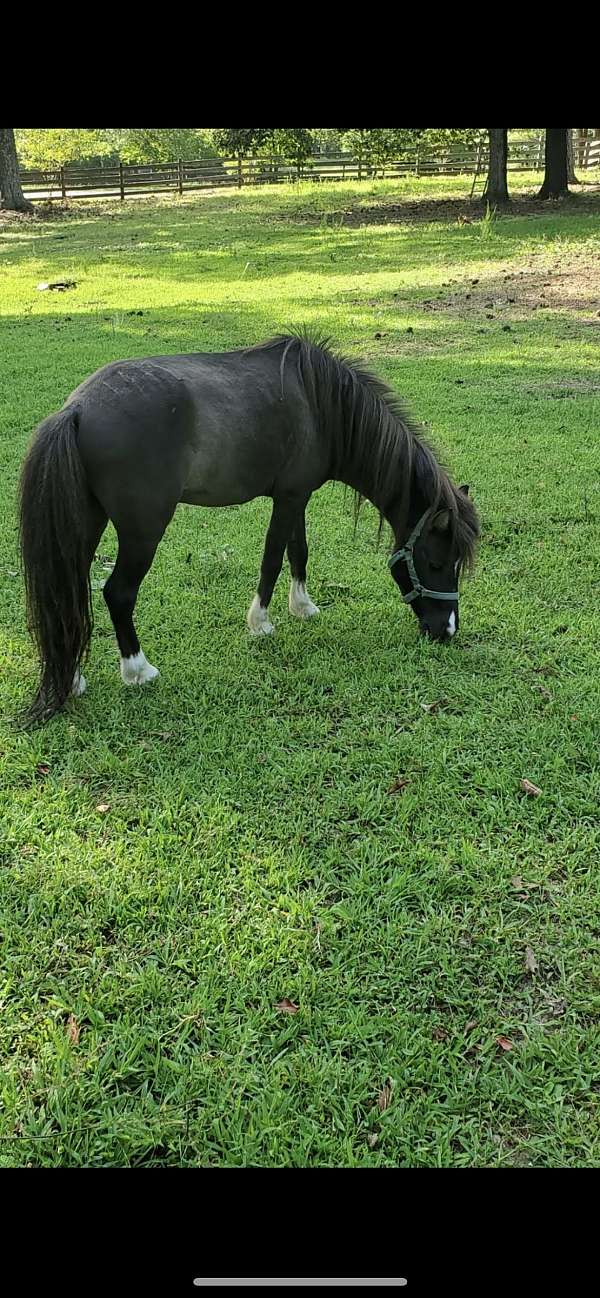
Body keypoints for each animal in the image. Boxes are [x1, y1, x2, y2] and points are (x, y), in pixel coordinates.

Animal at [18, 332, 480, 725]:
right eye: (437, 562)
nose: (447, 630)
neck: (322, 405)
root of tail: (78, 409)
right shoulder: (289, 498)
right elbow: (273, 557)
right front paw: (260, 622)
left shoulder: (297, 496)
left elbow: (299, 551)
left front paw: (302, 607)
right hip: (142, 531)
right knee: (117, 592)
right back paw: (138, 669)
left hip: (88, 521)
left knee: (69, 591)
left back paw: (73, 678)